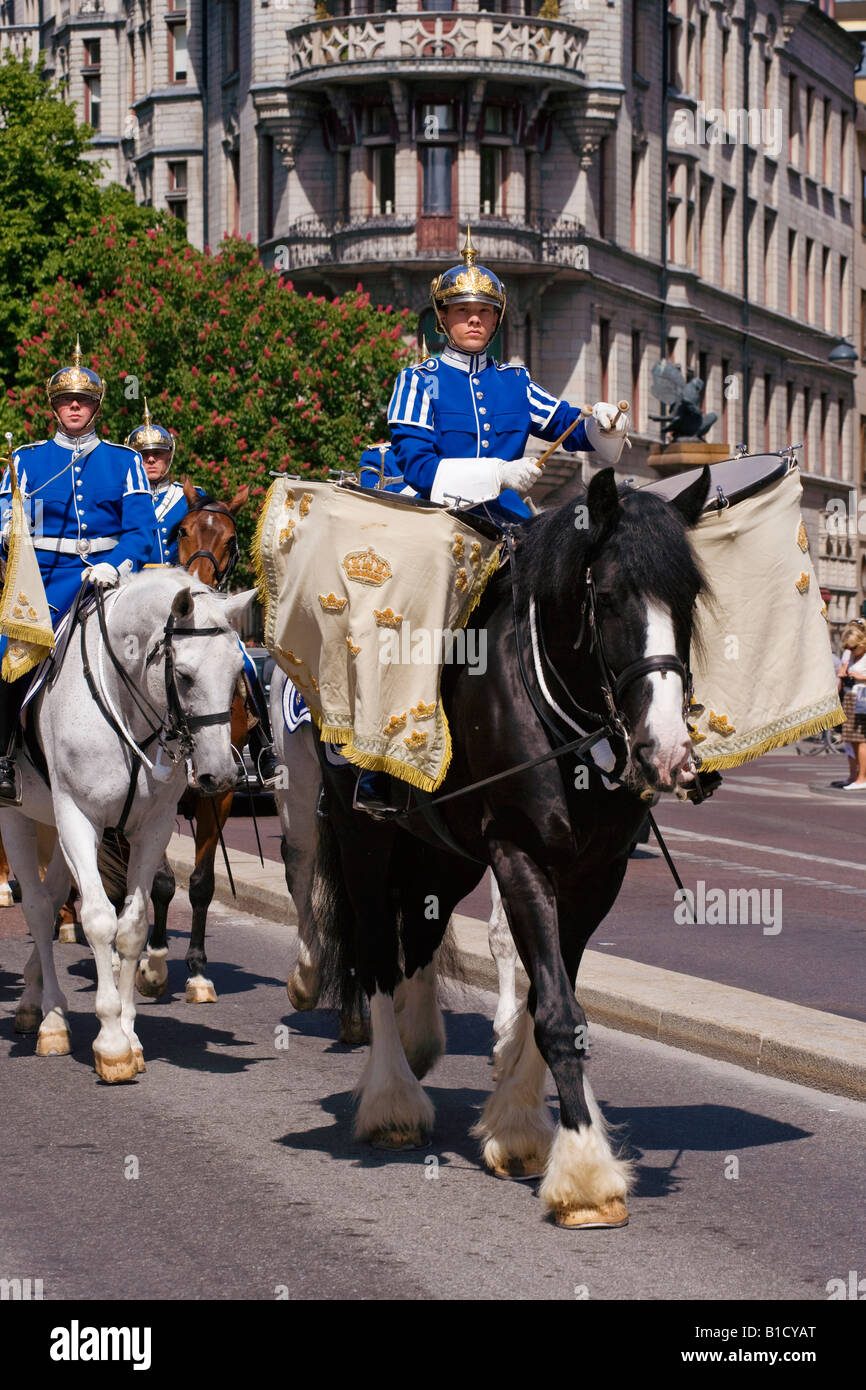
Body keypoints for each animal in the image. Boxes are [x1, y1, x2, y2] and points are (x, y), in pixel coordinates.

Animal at [3, 569, 252, 1078]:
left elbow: (133, 924)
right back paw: (51, 1018)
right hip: (16, 815)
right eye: (184, 675)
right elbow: (99, 919)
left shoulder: (151, 827)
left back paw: (37, 1002)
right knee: (36, 906)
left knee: (52, 898)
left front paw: (131, 1033)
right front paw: (111, 1041)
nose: (220, 775)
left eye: (238, 672)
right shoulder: (78, 818)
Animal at [315, 467, 708, 1228]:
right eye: (607, 598)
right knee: (376, 954)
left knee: (417, 939)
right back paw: (391, 1099)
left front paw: (521, 1128)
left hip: (444, 854)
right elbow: (556, 1010)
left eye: (688, 601)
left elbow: (552, 999)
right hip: (364, 838)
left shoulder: (596, 875)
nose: (667, 751)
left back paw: (417, 1046)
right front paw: (584, 1173)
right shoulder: (519, 855)